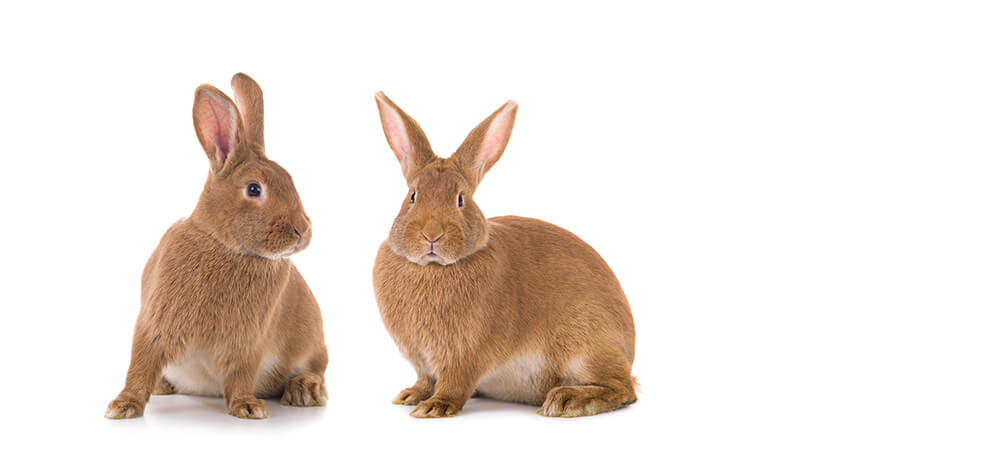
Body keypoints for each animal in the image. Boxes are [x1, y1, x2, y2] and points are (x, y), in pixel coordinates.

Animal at [105, 73, 328, 420]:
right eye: (254, 189)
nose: (302, 231)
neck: (224, 245)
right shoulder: (153, 325)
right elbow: (139, 367)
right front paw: (123, 406)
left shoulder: (248, 343)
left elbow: (241, 376)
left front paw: (247, 408)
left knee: (317, 370)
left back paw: (304, 390)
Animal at [372, 92, 637, 418]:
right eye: (412, 196)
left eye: (460, 199)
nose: (431, 236)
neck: (434, 268)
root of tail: (629, 348)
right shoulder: (422, 360)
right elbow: (425, 379)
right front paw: (411, 395)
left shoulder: (465, 355)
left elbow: (454, 383)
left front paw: (436, 407)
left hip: (585, 343)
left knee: (623, 388)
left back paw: (567, 400)